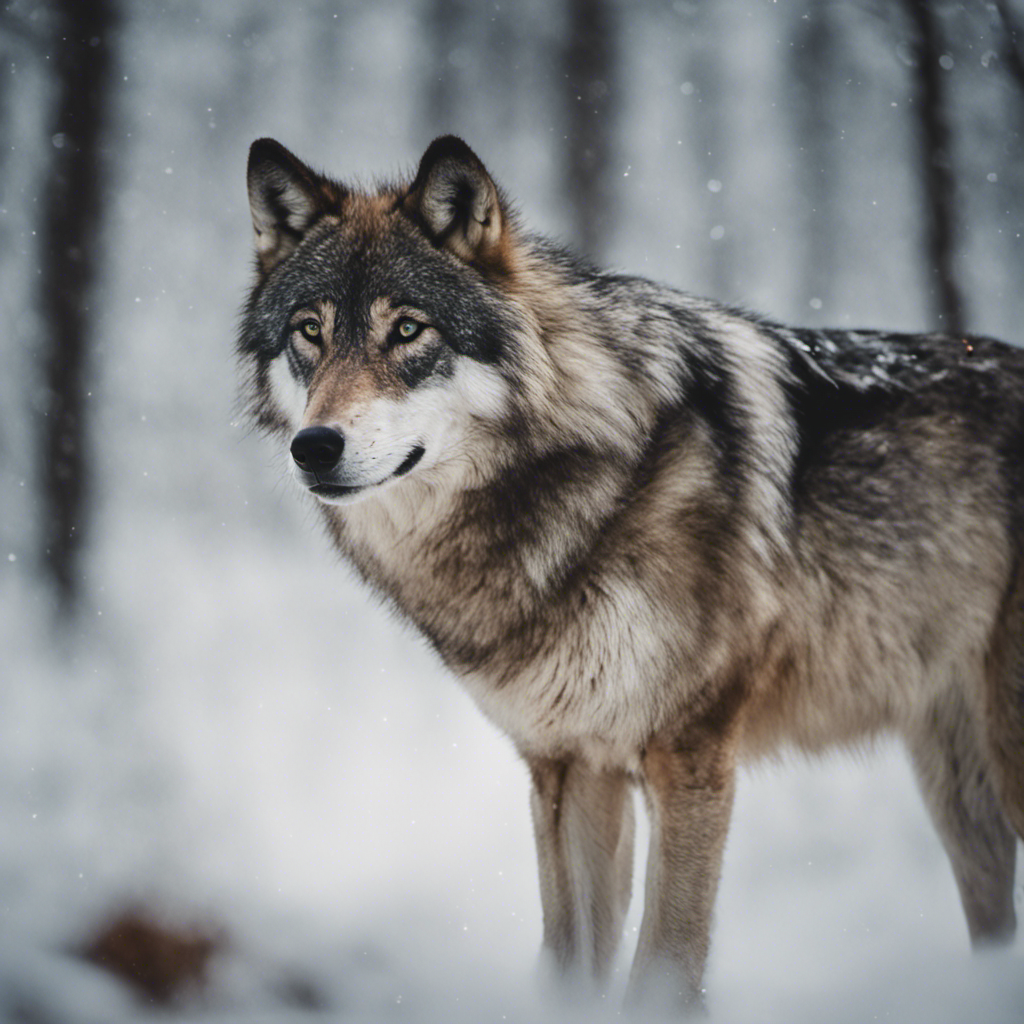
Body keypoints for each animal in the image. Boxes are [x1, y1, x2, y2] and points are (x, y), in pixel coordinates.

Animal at [239, 135, 1024, 1009]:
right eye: (310, 332)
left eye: (408, 330)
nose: (315, 447)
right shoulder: (568, 766)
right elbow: (567, 965)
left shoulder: (689, 758)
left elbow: (665, 968)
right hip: (957, 777)